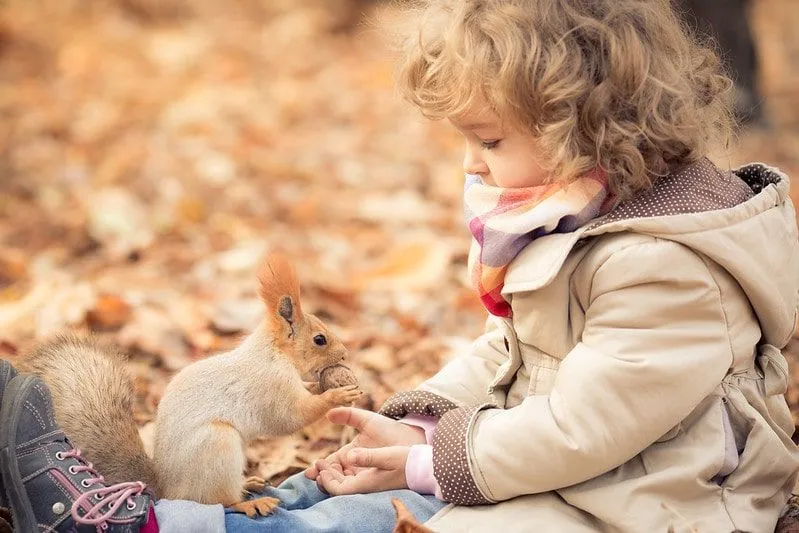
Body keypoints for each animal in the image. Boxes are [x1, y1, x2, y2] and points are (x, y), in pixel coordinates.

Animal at [14, 252, 362, 516]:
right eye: (320, 339)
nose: (345, 354)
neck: (273, 352)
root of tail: (168, 490)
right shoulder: (270, 384)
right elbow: (290, 417)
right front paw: (337, 394)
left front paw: (322, 387)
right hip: (217, 445)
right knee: (216, 501)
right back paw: (247, 502)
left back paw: (247, 485)